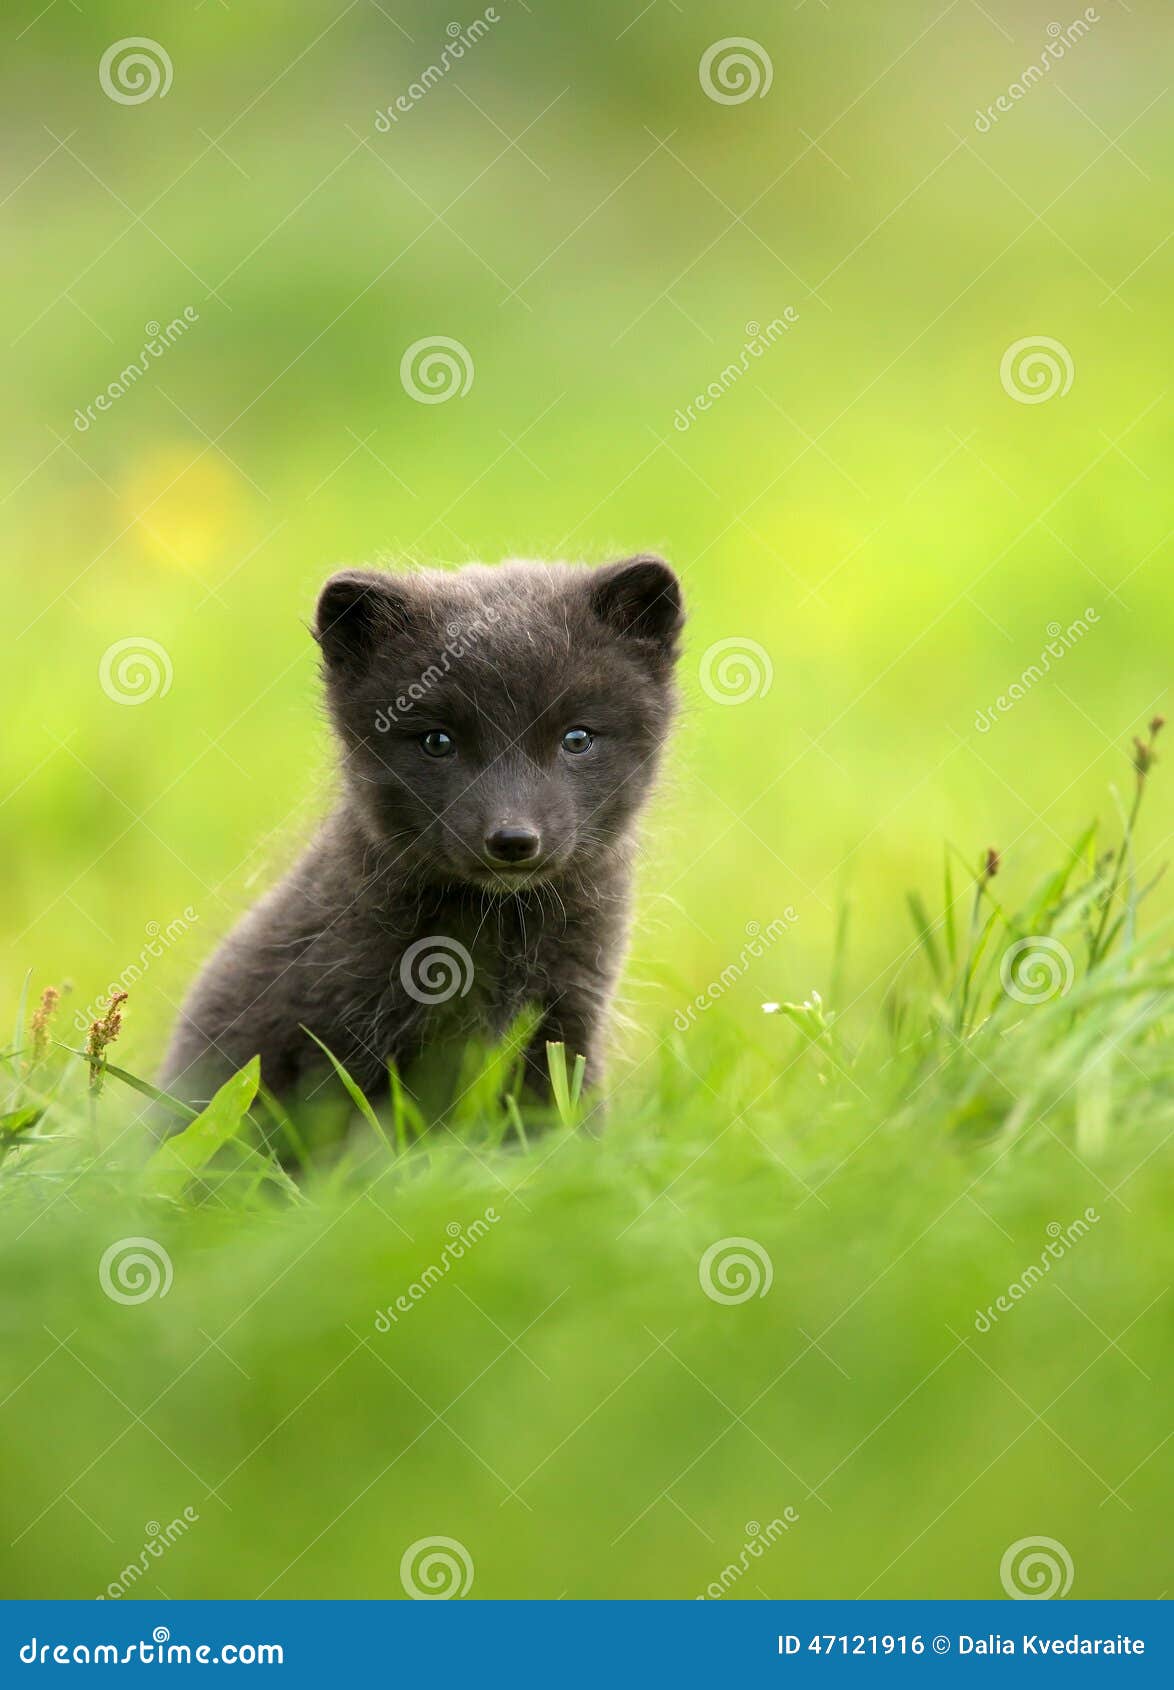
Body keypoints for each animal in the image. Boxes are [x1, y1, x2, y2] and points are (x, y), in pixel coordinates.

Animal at [159, 555, 685, 1116]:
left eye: (578, 738)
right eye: (437, 741)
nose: (512, 839)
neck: (494, 934)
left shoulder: (570, 1017)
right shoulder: (341, 1035)